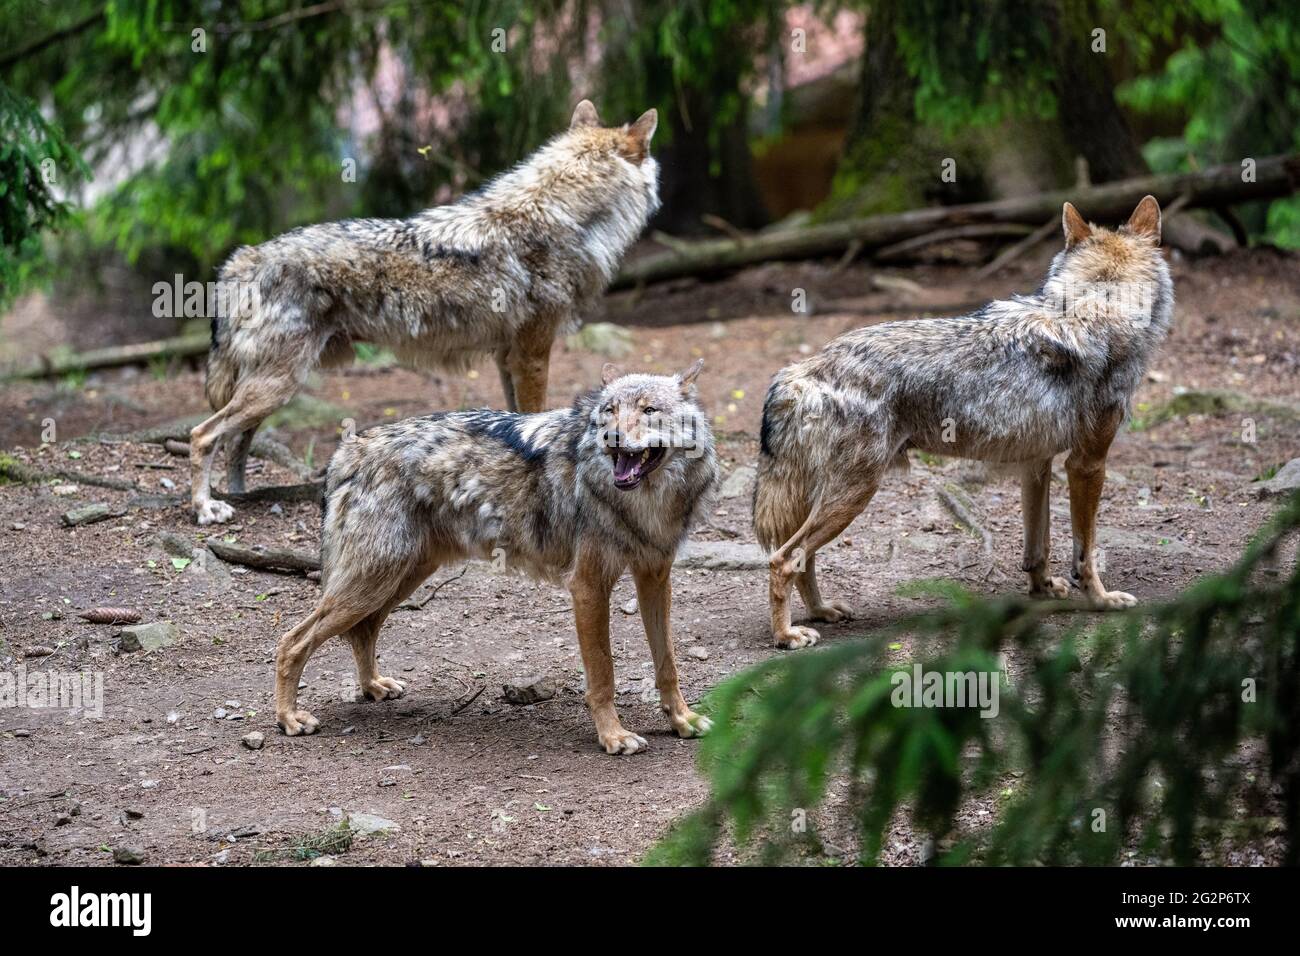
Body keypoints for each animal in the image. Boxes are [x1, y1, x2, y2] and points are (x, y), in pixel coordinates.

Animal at [191, 100, 660, 525]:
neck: (561, 216)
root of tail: (242, 259)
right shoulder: (532, 353)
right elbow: (532, 417)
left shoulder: (507, 357)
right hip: (276, 385)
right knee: (202, 435)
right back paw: (207, 508)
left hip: (270, 390)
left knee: (235, 443)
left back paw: (240, 494)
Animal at [272, 362, 718, 755]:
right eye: (609, 411)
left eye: (649, 410)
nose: (611, 436)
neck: (645, 504)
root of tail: (346, 450)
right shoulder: (588, 587)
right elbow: (603, 673)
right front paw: (613, 737)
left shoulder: (655, 577)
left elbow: (668, 663)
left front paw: (682, 720)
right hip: (372, 581)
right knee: (292, 640)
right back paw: (289, 718)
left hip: (397, 580)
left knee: (363, 631)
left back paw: (372, 687)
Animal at [754, 197, 1173, 648]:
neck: (1100, 303)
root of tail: (802, 369)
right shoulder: (1086, 464)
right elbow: (1086, 551)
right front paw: (1100, 600)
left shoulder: (1036, 464)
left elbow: (1037, 547)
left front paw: (1042, 590)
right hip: (853, 494)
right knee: (783, 560)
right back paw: (786, 635)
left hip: (835, 496)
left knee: (803, 558)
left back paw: (821, 612)